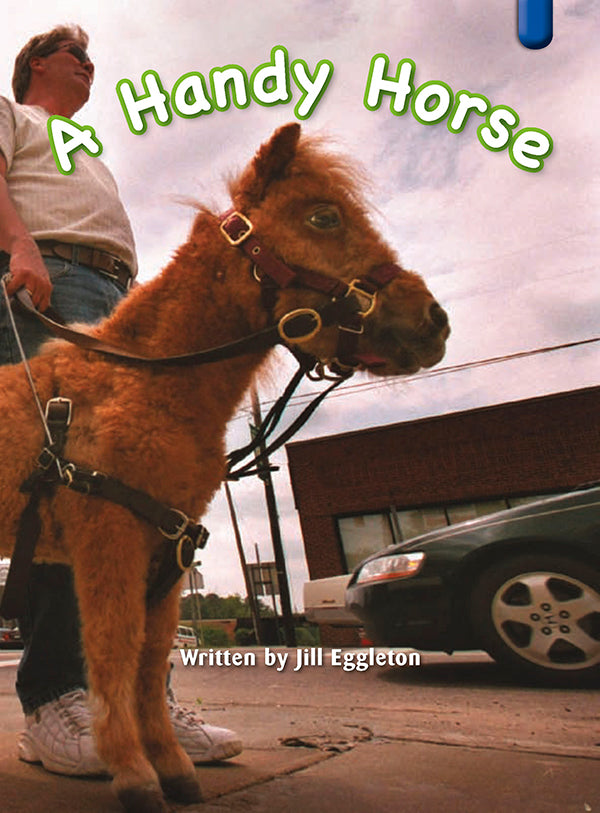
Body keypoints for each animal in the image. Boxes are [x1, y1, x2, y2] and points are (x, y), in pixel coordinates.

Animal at [0, 123, 449, 812]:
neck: (139, 382)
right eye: (323, 216)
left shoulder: (170, 545)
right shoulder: (110, 539)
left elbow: (152, 659)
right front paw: (133, 774)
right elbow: (113, 649)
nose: (433, 321)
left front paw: (174, 766)